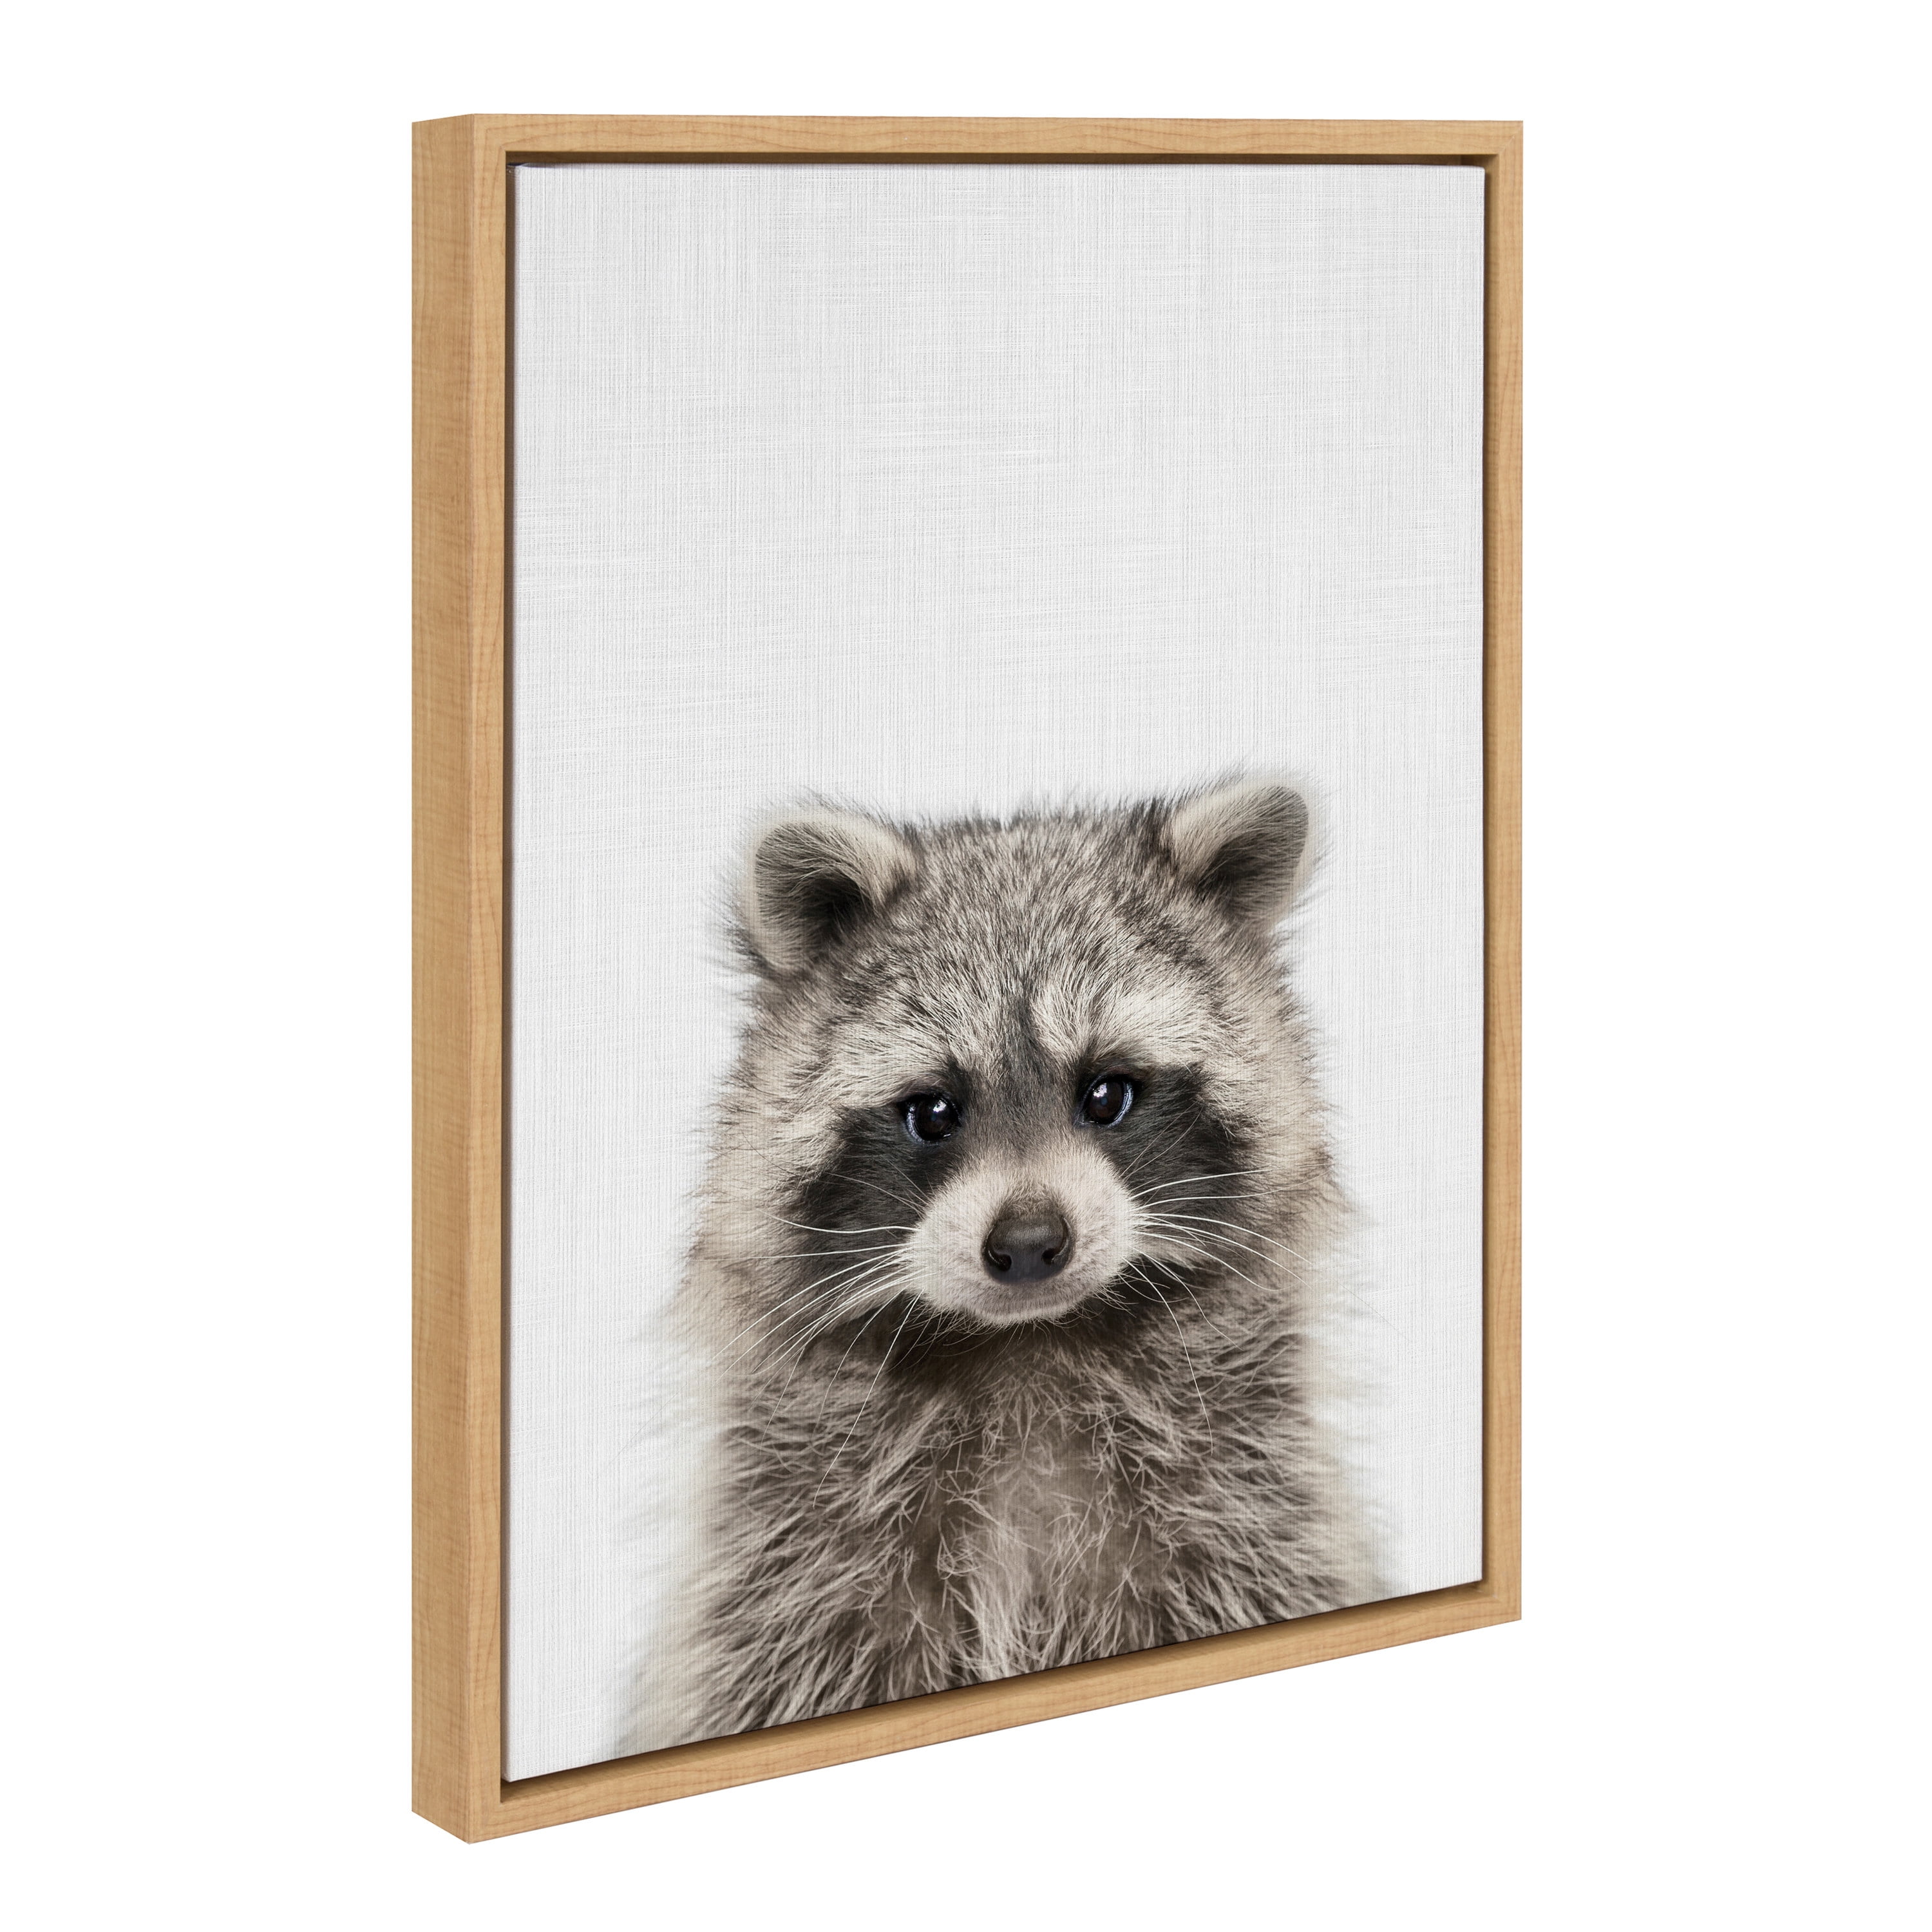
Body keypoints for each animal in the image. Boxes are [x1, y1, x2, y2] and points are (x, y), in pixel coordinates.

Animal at [679, 781, 1373, 1740]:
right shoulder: (796, 1574)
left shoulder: (1247, 1514)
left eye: (1108, 1093)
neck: (1026, 1346)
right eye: (933, 1112)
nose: (1029, 1244)